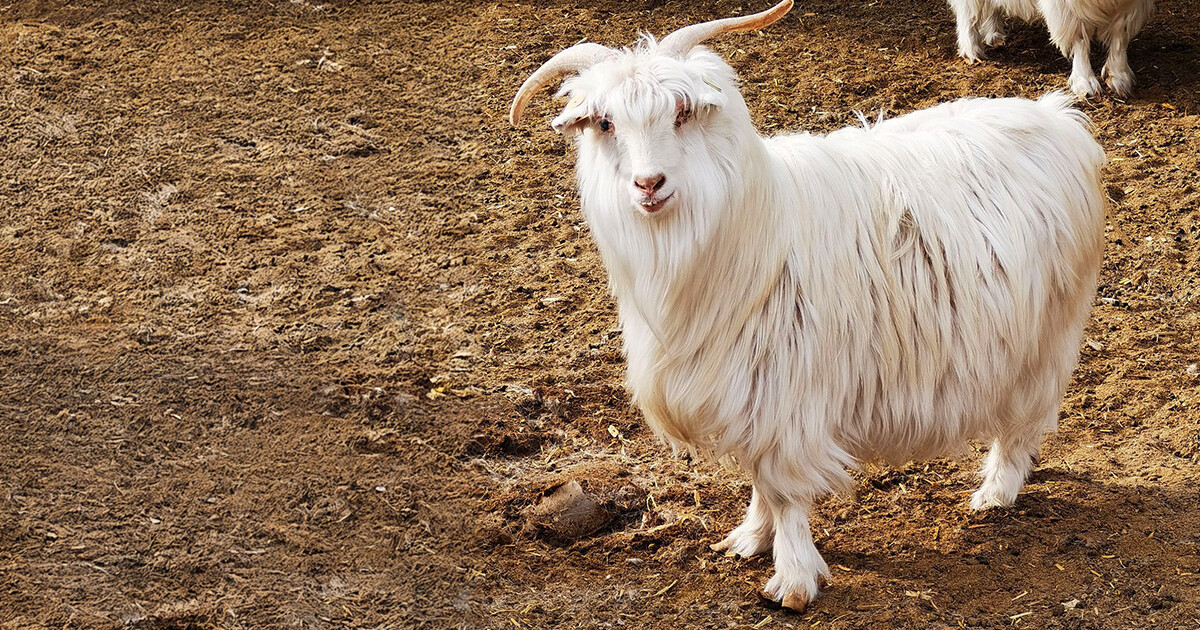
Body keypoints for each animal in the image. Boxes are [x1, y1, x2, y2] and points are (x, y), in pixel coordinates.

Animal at [510, 0, 1105, 611]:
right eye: (605, 124)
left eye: (682, 112)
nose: (648, 183)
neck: (751, 228)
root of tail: (1059, 120)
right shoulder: (748, 392)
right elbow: (758, 480)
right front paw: (750, 537)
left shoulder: (789, 392)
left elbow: (785, 490)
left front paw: (793, 579)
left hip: (1049, 332)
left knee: (1023, 420)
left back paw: (997, 490)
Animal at [949, 0, 1155, 97]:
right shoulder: (1068, 8)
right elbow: (1079, 37)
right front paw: (1085, 83)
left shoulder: (1132, 7)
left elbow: (1121, 35)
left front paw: (1119, 78)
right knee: (966, 13)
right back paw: (972, 51)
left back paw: (995, 35)